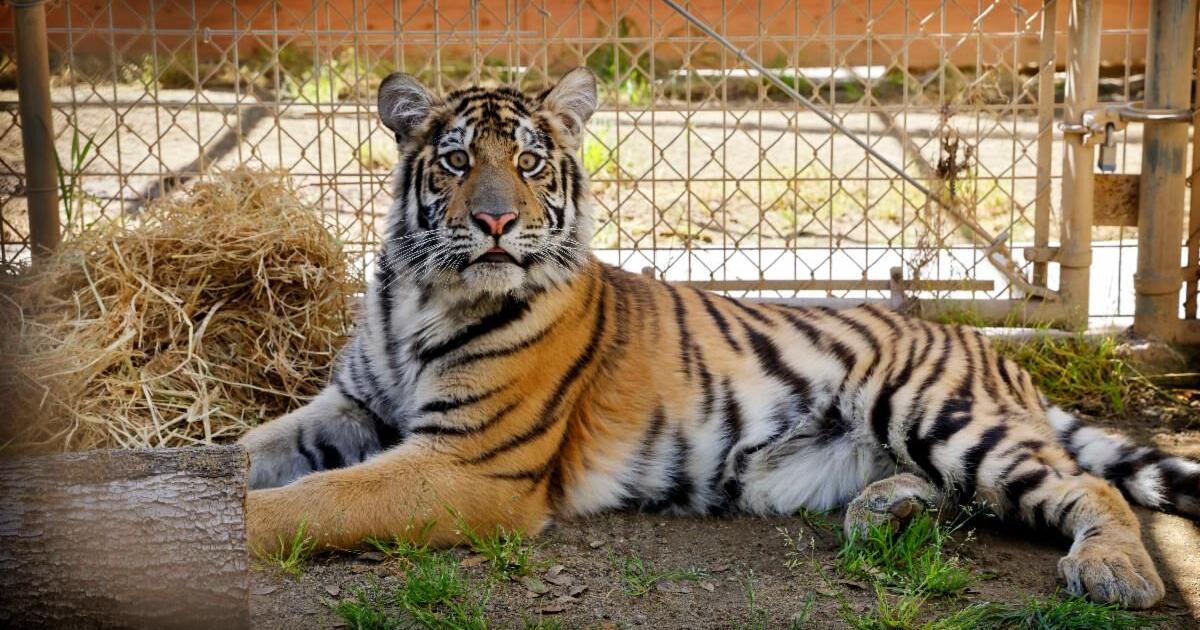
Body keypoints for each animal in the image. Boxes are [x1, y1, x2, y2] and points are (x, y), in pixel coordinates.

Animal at [240, 67, 1200, 610]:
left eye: (530, 161)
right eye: (454, 160)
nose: (496, 222)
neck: (422, 292)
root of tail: (996, 354)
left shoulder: (469, 462)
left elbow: (315, 502)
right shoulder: (351, 406)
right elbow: (249, 454)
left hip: (938, 410)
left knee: (1086, 488)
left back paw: (1117, 573)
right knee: (960, 495)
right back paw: (881, 513)